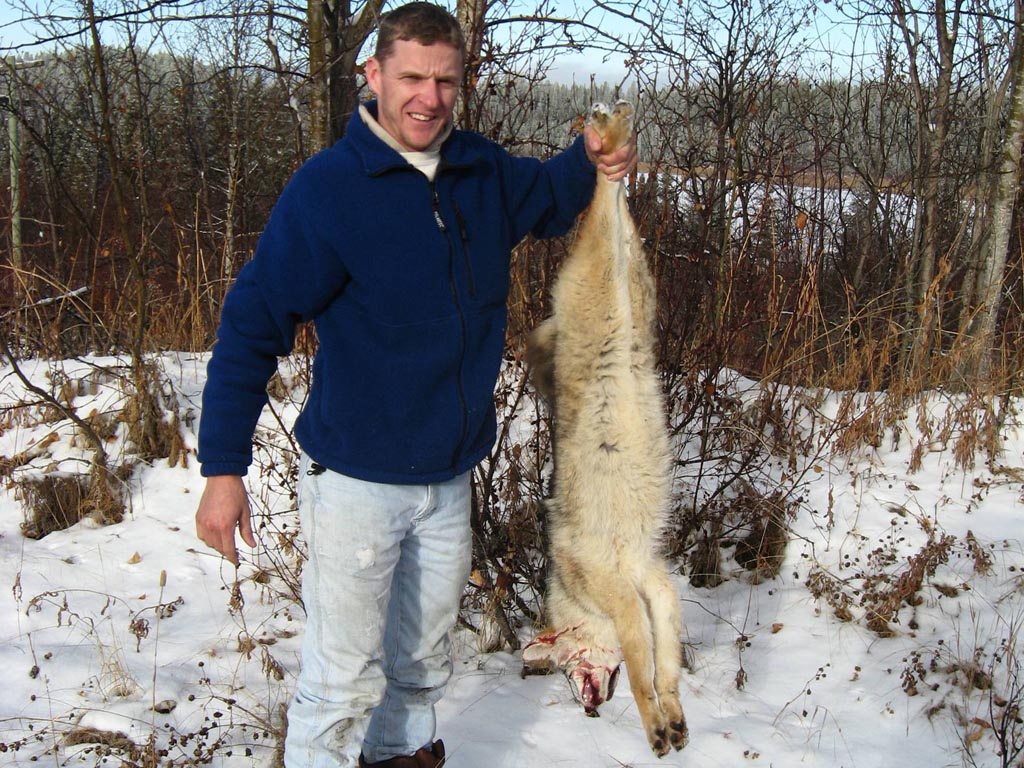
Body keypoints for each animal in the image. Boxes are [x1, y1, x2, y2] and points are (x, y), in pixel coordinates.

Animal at [521, 101, 688, 757]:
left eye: (562, 664)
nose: (584, 710)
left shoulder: (628, 590)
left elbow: (643, 673)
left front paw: (655, 725)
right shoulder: (654, 583)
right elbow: (665, 668)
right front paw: (673, 717)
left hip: (600, 265)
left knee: (604, 188)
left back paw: (604, 130)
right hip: (636, 281)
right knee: (613, 197)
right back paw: (614, 126)